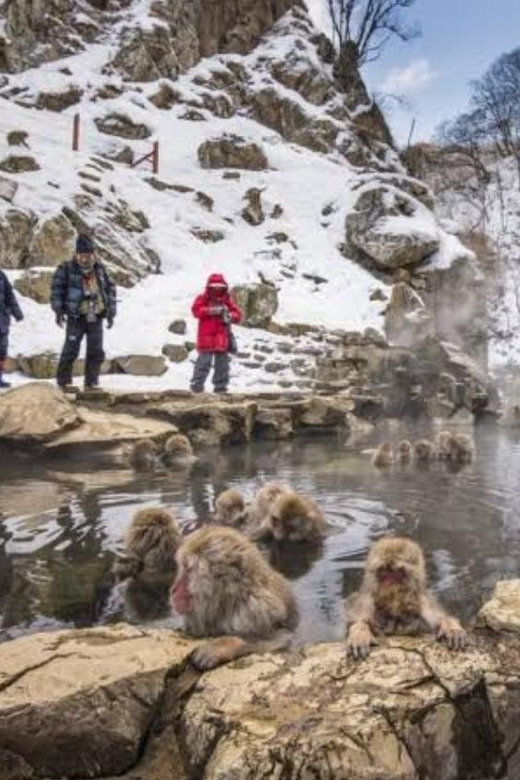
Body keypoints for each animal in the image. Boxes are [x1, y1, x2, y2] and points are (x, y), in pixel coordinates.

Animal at [170, 526, 299, 670]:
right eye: (184, 568)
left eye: (188, 570)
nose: (173, 590)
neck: (228, 602)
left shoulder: (258, 610)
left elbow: (282, 638)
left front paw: (221, 646)